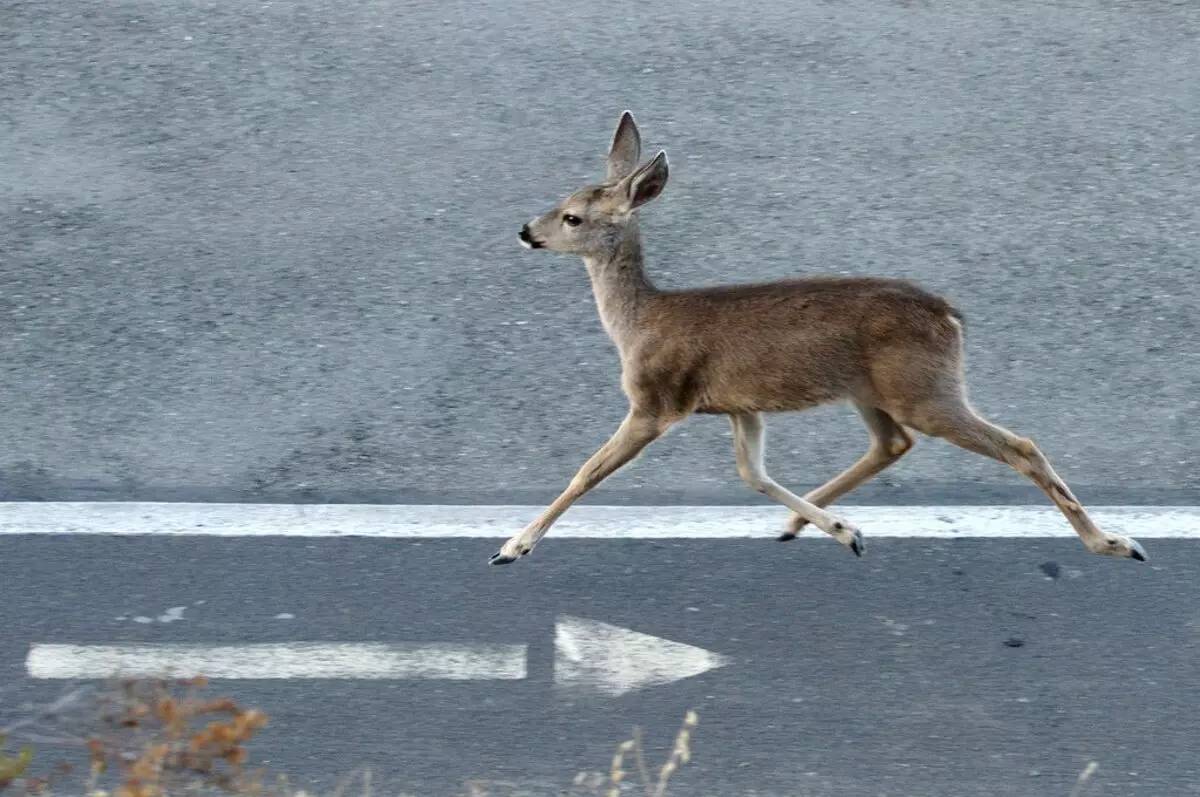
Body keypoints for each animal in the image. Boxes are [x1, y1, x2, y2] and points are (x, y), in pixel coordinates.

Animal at [487, 110, 1152, 566]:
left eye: (573, 217)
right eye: (561, 201)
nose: (525, 230)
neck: (638, 323)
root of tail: (951, 316)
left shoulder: (658, 398)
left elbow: (586, 472)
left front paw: (513, 545)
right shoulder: (739, 405)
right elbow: (753, 474)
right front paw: (843, 529)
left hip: (923, 388)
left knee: (1018, 444)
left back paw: (1114, 543)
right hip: (872, 389)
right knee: (894, 443)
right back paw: (811, 525)